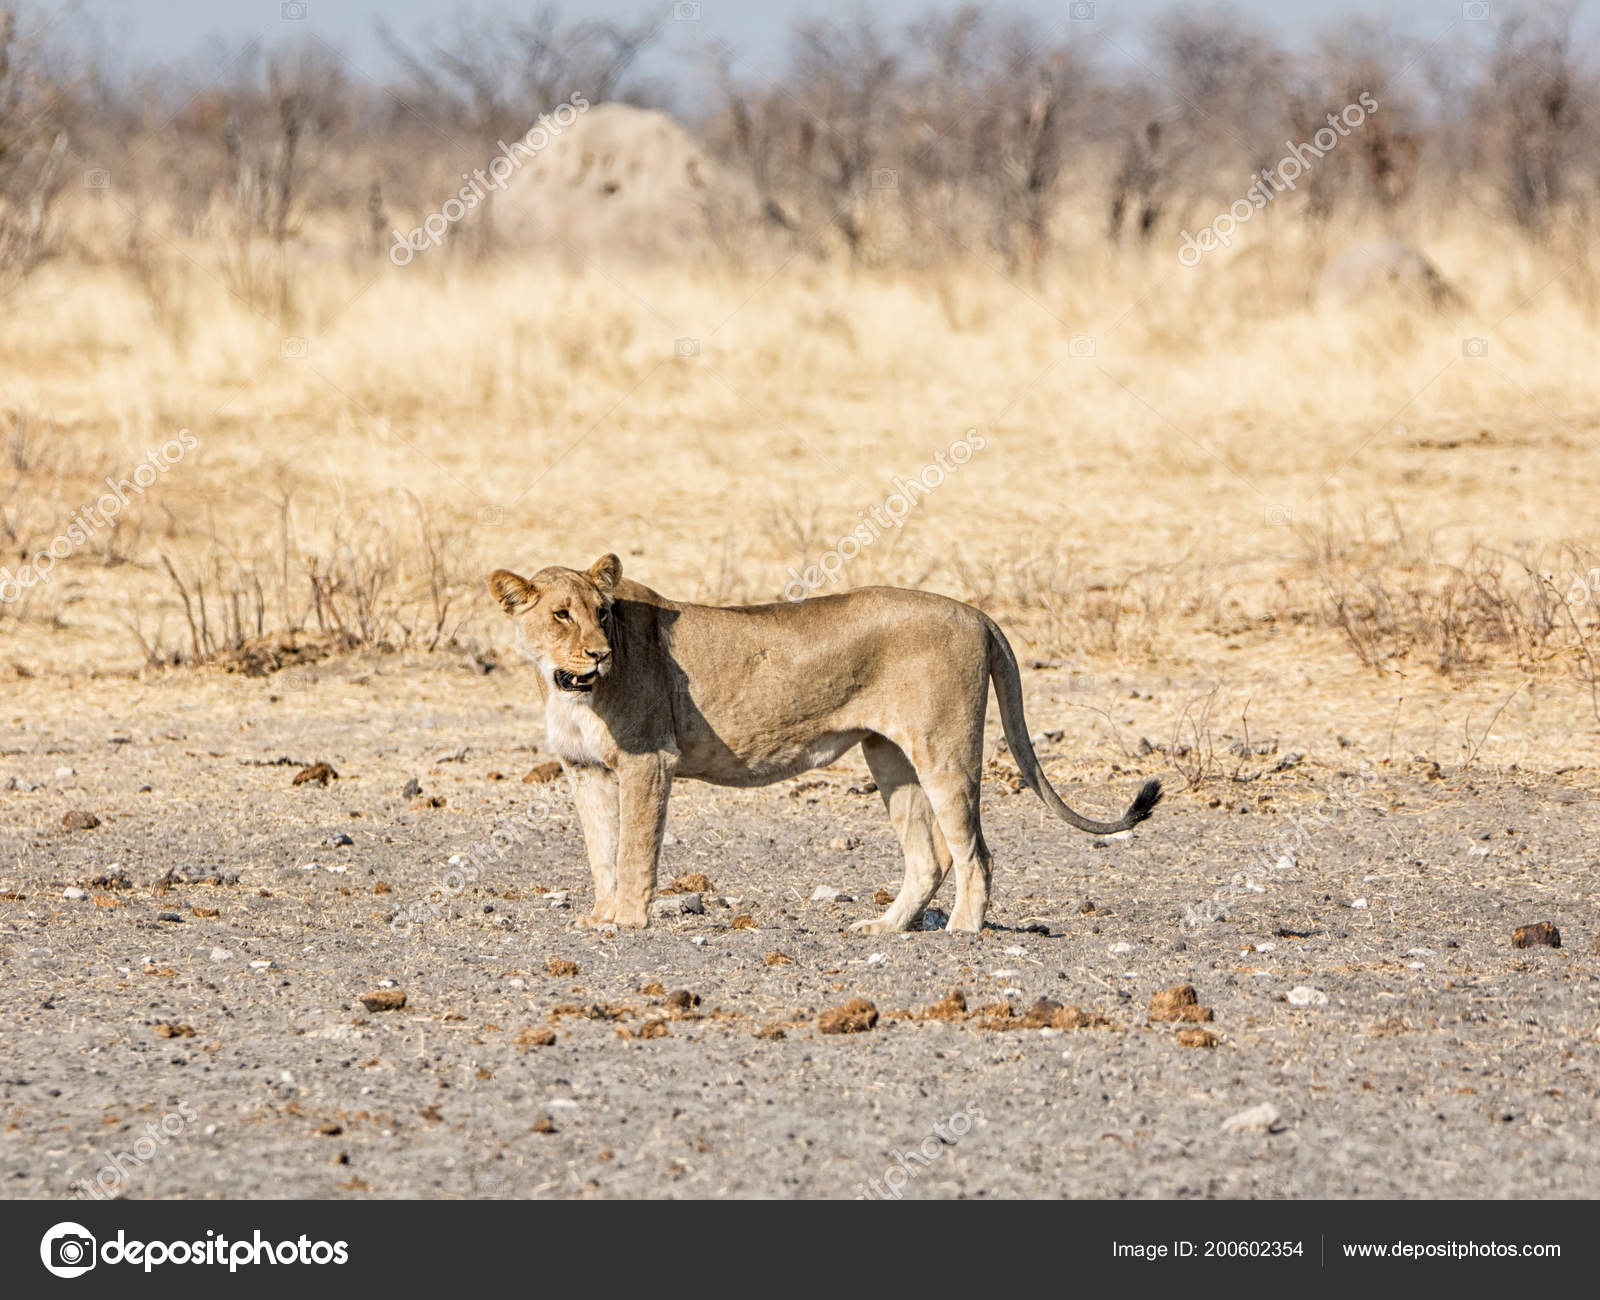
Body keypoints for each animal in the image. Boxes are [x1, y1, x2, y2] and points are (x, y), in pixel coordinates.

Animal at [489, 555, 1161, 932]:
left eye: (603, 613)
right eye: (561, 614)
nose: (600, 652)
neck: (569, 687)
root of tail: (976, 612)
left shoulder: (648, 761)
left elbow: (633, 852)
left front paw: (627, 921)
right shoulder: (585, 771)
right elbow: (601, 851)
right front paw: (600, 917)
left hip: (944, 749)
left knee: (976, 853)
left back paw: (962, 932)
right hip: (888, 756)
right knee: (930, 857)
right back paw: (884, 928)